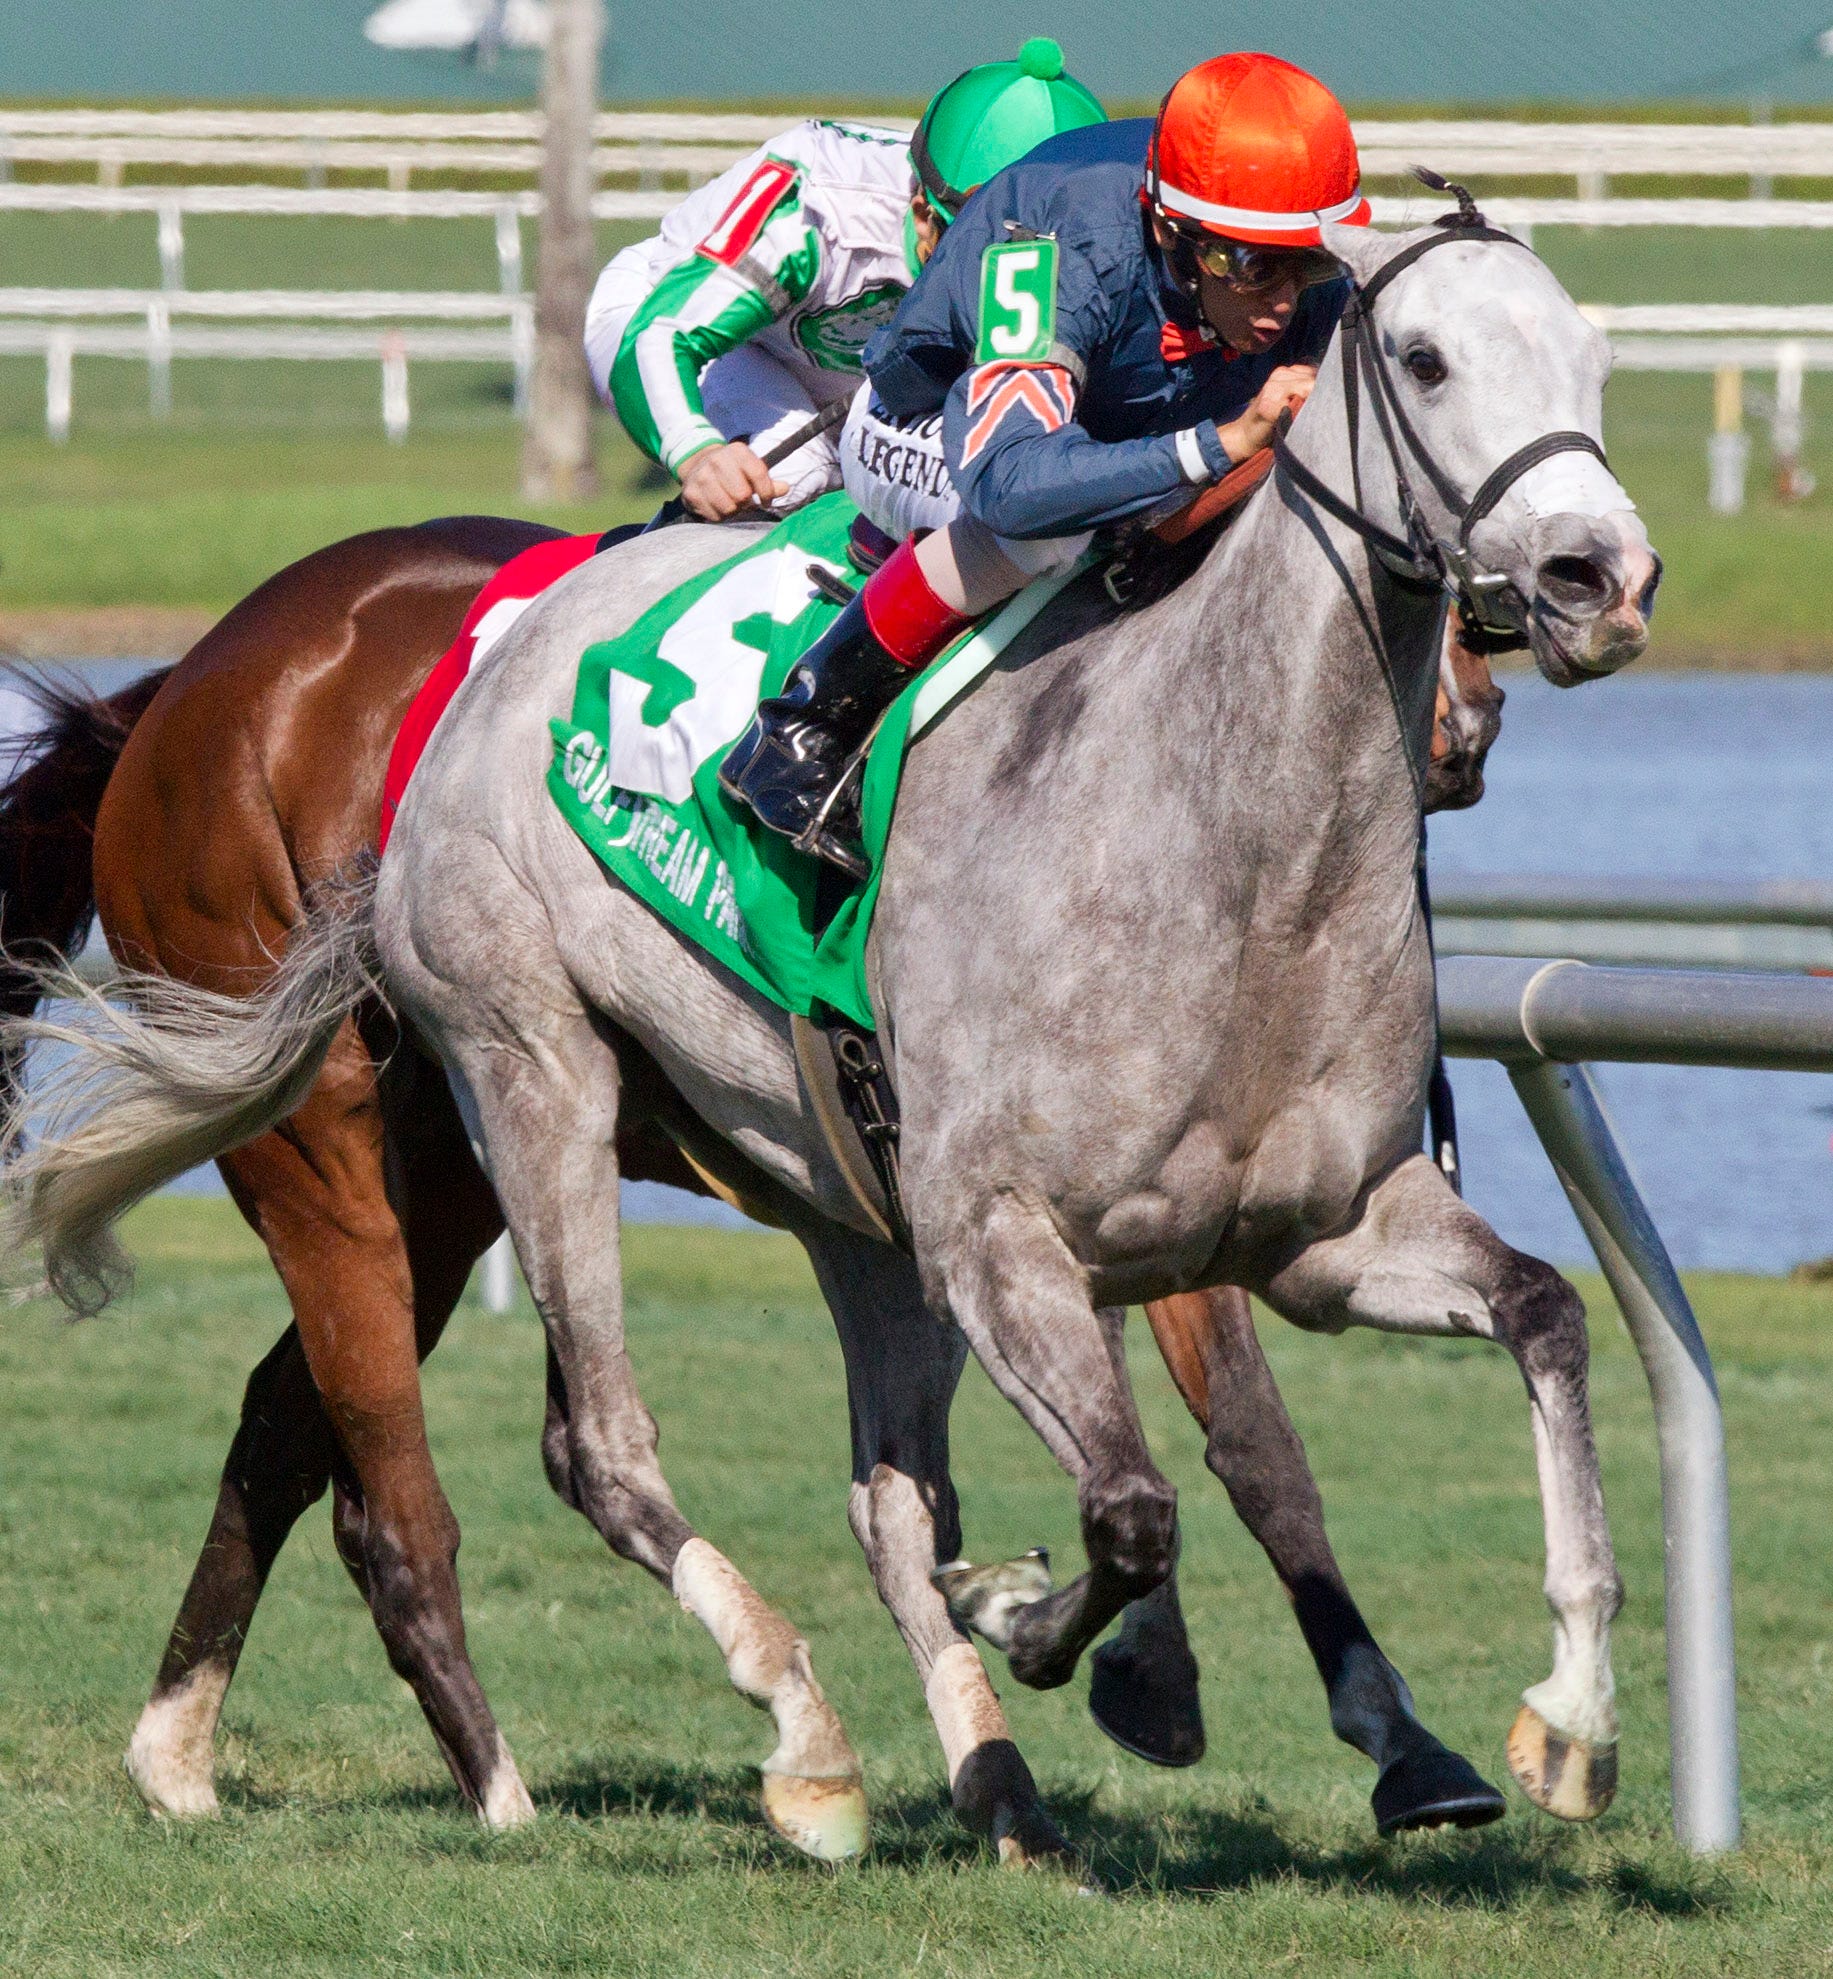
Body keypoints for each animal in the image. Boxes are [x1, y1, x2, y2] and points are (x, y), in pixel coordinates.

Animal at [0, 289, 1533, 1853]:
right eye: (1410, 383)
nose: (1471, 718)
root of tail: (191, 683)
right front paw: (1143, 1665)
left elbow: (1238, 1438)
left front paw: (1384, 1737)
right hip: (337, 1126)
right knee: (420, 1469)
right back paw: (517, 1777)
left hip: (444, 1171)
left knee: (285, 1416)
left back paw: (179, 1746)